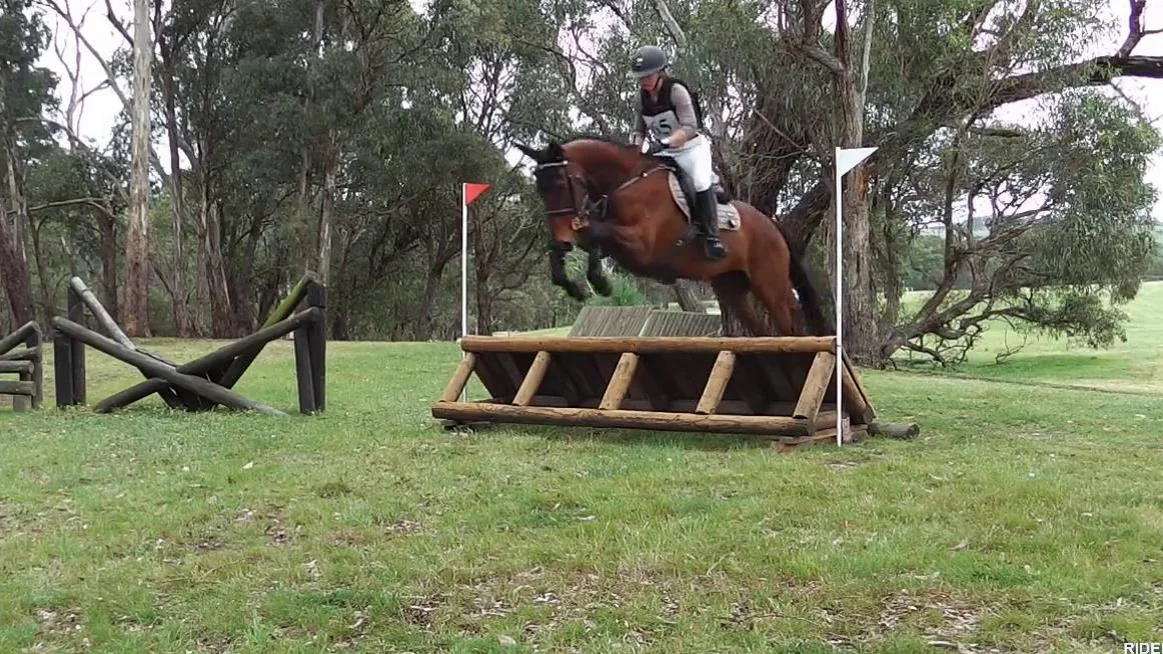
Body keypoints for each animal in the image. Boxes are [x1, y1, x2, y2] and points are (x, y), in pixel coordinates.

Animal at [515, 137, 828, 337]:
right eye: (539, 188)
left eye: (559, 183)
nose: (562, 238)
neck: (626, 182)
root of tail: (772, 226)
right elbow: (590, 238)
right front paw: (577, 285)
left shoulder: (640, 246)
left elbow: (592, 231)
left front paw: (598, 282)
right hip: (732, 289)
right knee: (762, 331)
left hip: (770, 285)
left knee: (790, 326)